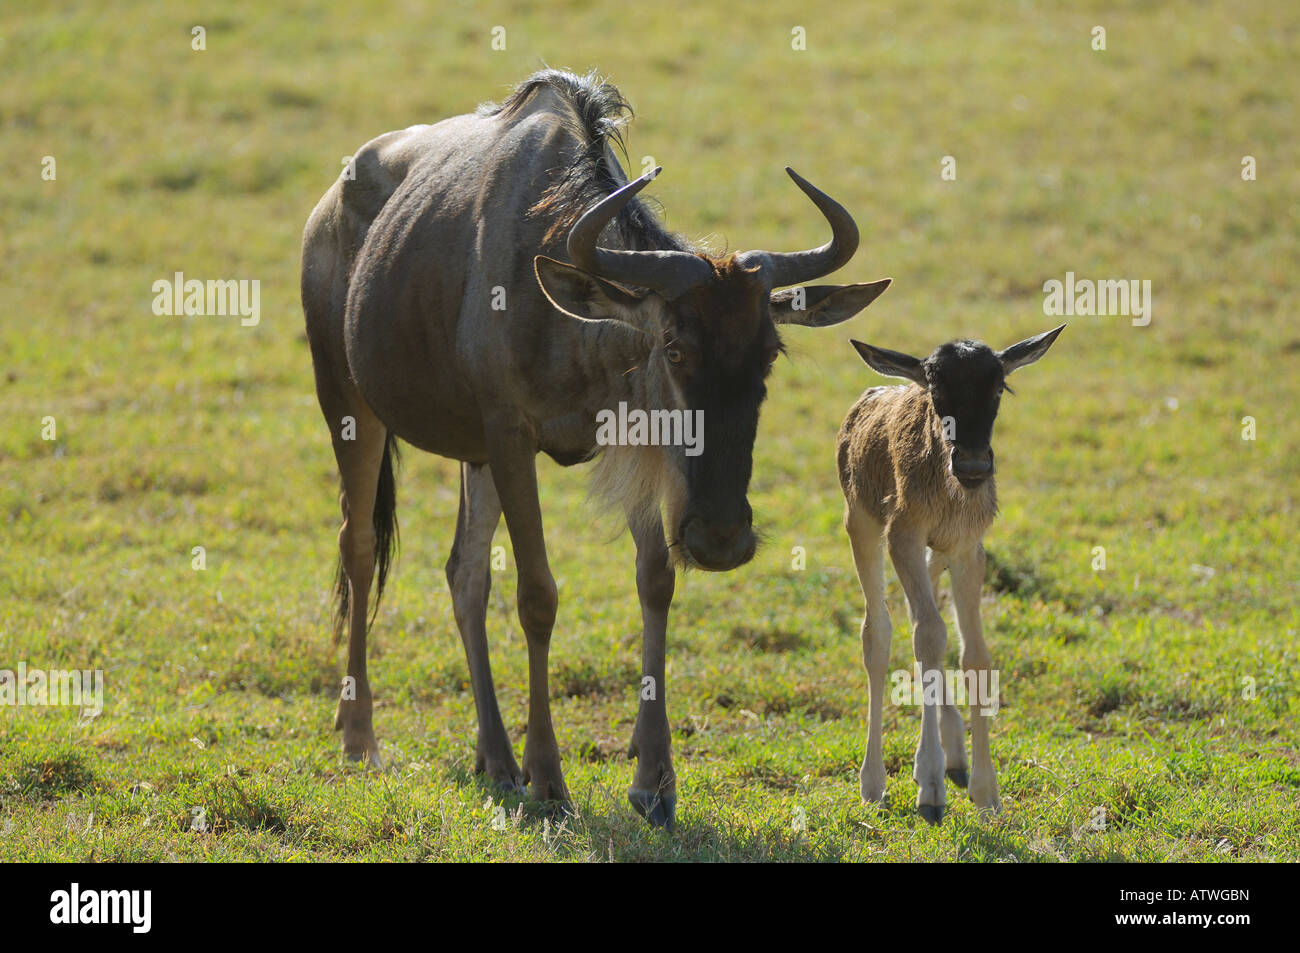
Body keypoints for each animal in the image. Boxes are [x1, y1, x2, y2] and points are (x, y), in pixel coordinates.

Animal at [301, 69, 892, 829]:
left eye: (769, 355)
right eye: (674, 348)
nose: (723, 540)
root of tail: (329, 205)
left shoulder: (636, 441)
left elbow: (655, 580)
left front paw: (654, 779)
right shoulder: (511, 437)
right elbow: (538, 595)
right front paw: (550, 780)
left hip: (471, 456)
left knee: (465, 572)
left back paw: (494, 758)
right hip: (350, 404)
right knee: (359, 547)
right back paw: (362, 740)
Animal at [837, 325, 1064, 822]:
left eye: (998, 387)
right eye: (936, 387)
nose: (974, 465)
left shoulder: (968, 547)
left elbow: (974, 653)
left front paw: (986, 791)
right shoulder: (901, 531)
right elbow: (927, 637)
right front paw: (930, 787)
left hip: (933, 554)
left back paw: (955, 756)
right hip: (860, 520)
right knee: (878, 632)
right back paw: (874, 782)